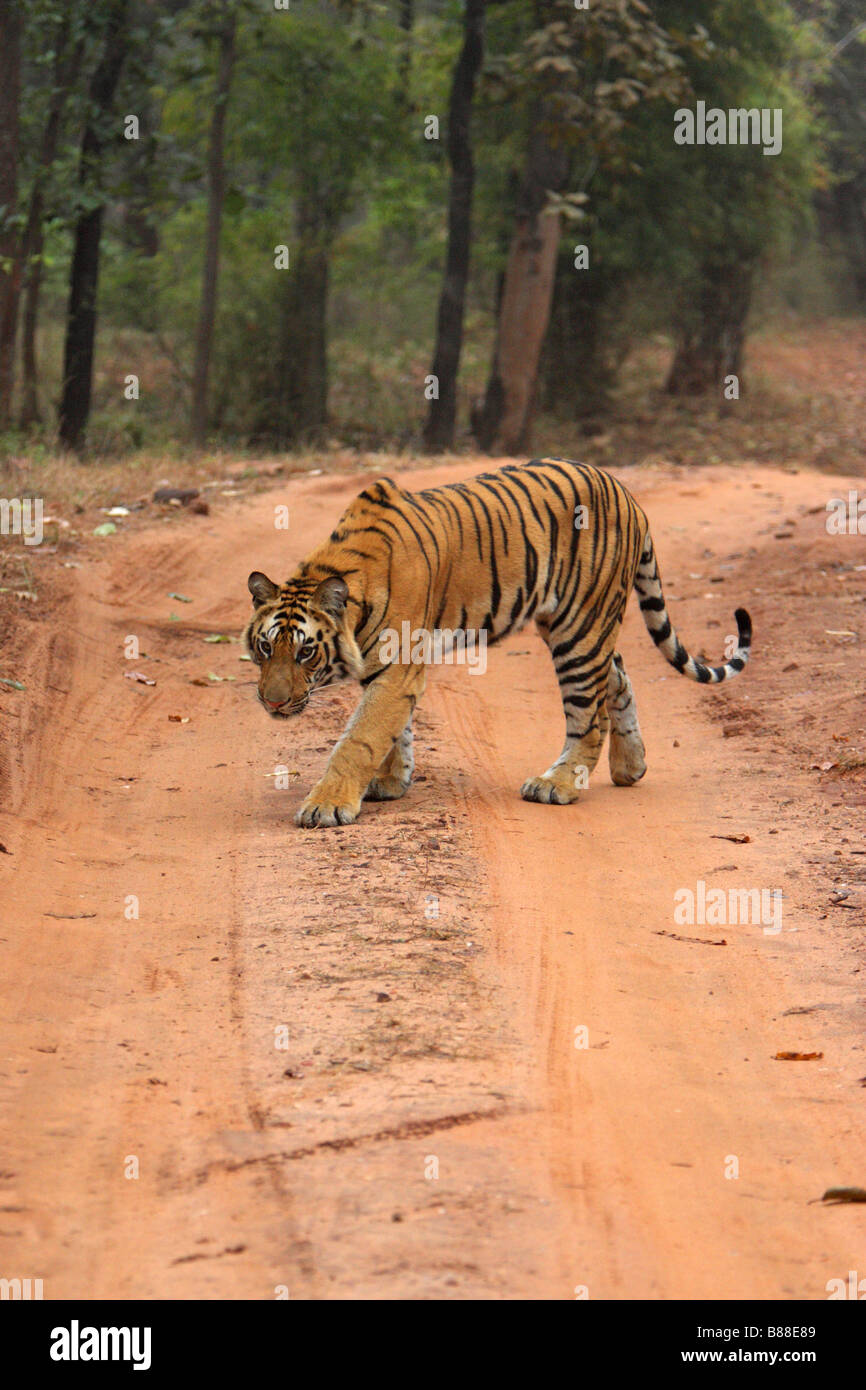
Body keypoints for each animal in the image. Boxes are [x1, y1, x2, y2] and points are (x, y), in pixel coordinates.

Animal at [244, 458, 751, 828]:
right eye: (266, 648)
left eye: (306, 652)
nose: (271, 703)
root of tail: (628, 494)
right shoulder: (385, 670)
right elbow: (393, 731)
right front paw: (390, 781)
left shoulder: (397, 666)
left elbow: (360, 737)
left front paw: (328, 804)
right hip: (575, 620)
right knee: (619, 676)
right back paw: (631, 766)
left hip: (579, 629)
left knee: (589, 717)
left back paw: (559, 784)